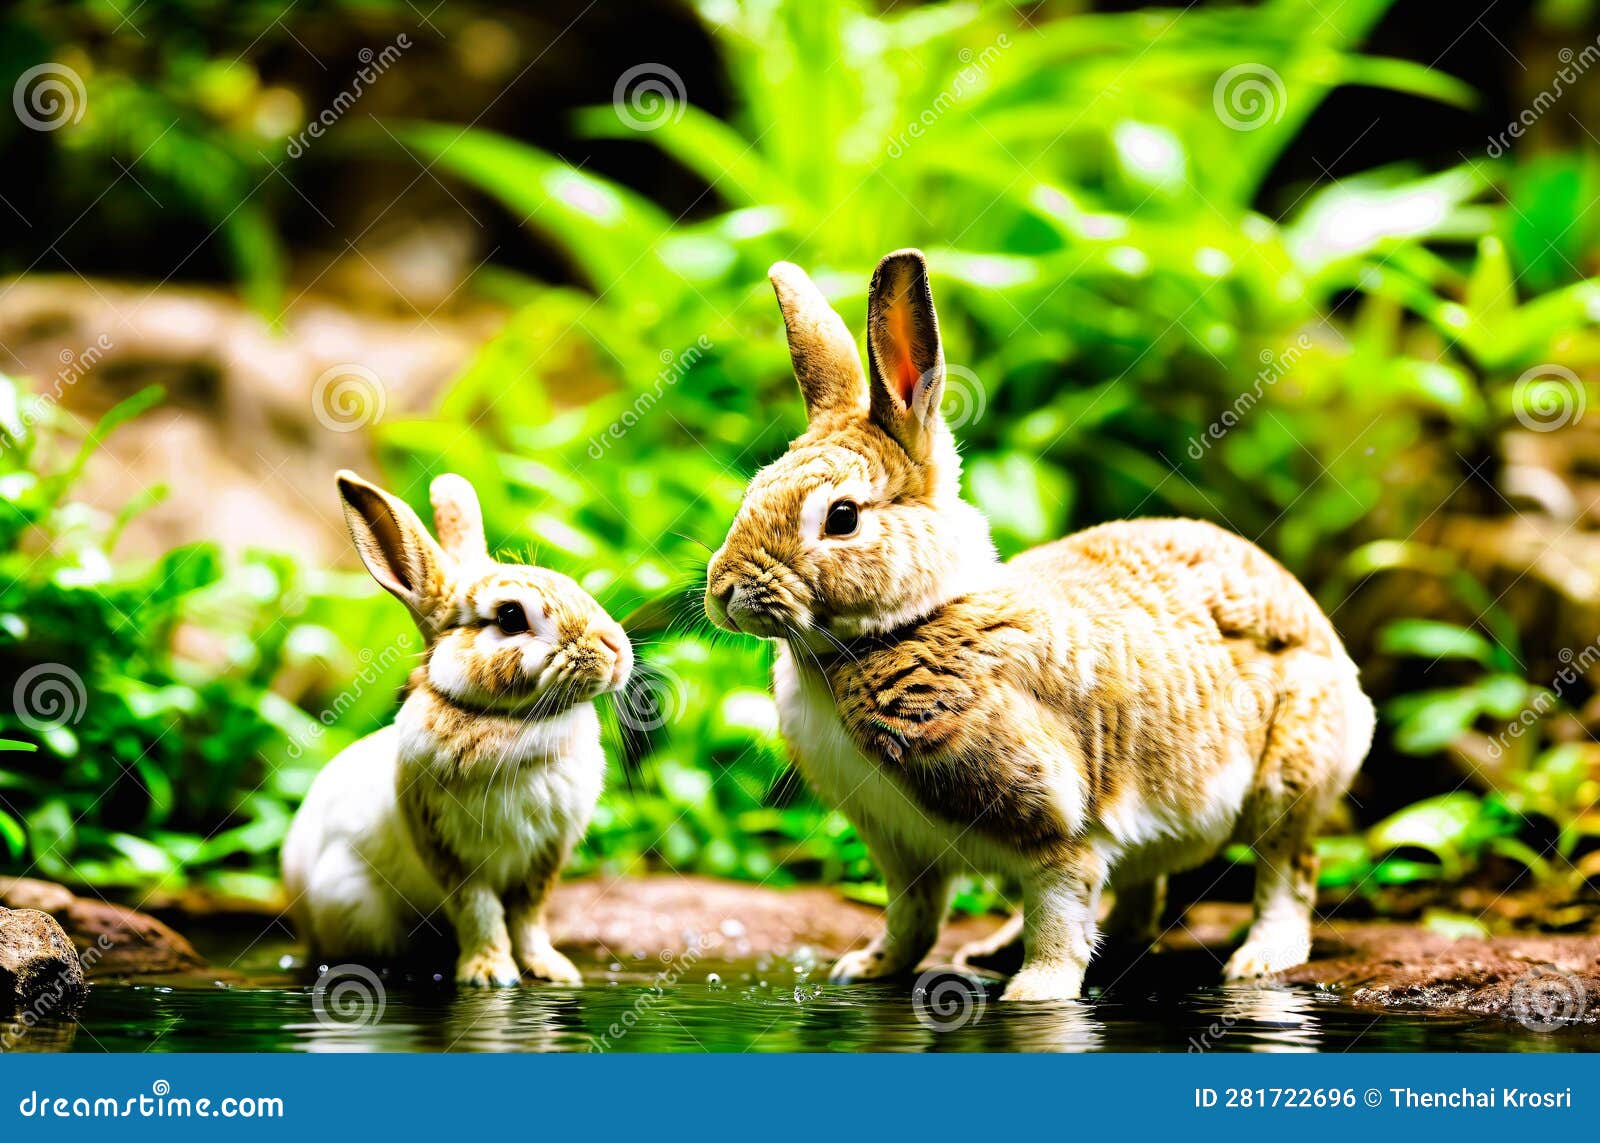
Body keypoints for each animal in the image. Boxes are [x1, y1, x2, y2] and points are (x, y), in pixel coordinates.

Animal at [282, 470, 631, 987]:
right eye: (510, 616)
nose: (616, 648)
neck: (510, 722)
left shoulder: (546, 856)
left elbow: (529, 917)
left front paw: (553, 971)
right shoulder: (448, 851)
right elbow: (480, 911)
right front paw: (489, 975)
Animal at [705, 249, 1374, 1002]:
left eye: (842, 517)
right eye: (755, 489)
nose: (724, 591)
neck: (901, 626)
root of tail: (1329, 645)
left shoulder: (1053, 825)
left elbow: (1059, 906)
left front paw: (1037, 993)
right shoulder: (901, 847)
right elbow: (913, 920)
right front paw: (868, 969)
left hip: (1285, 784)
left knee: (1287, 871)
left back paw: (1258, 960)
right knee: (1141, 900)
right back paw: (996, 951)